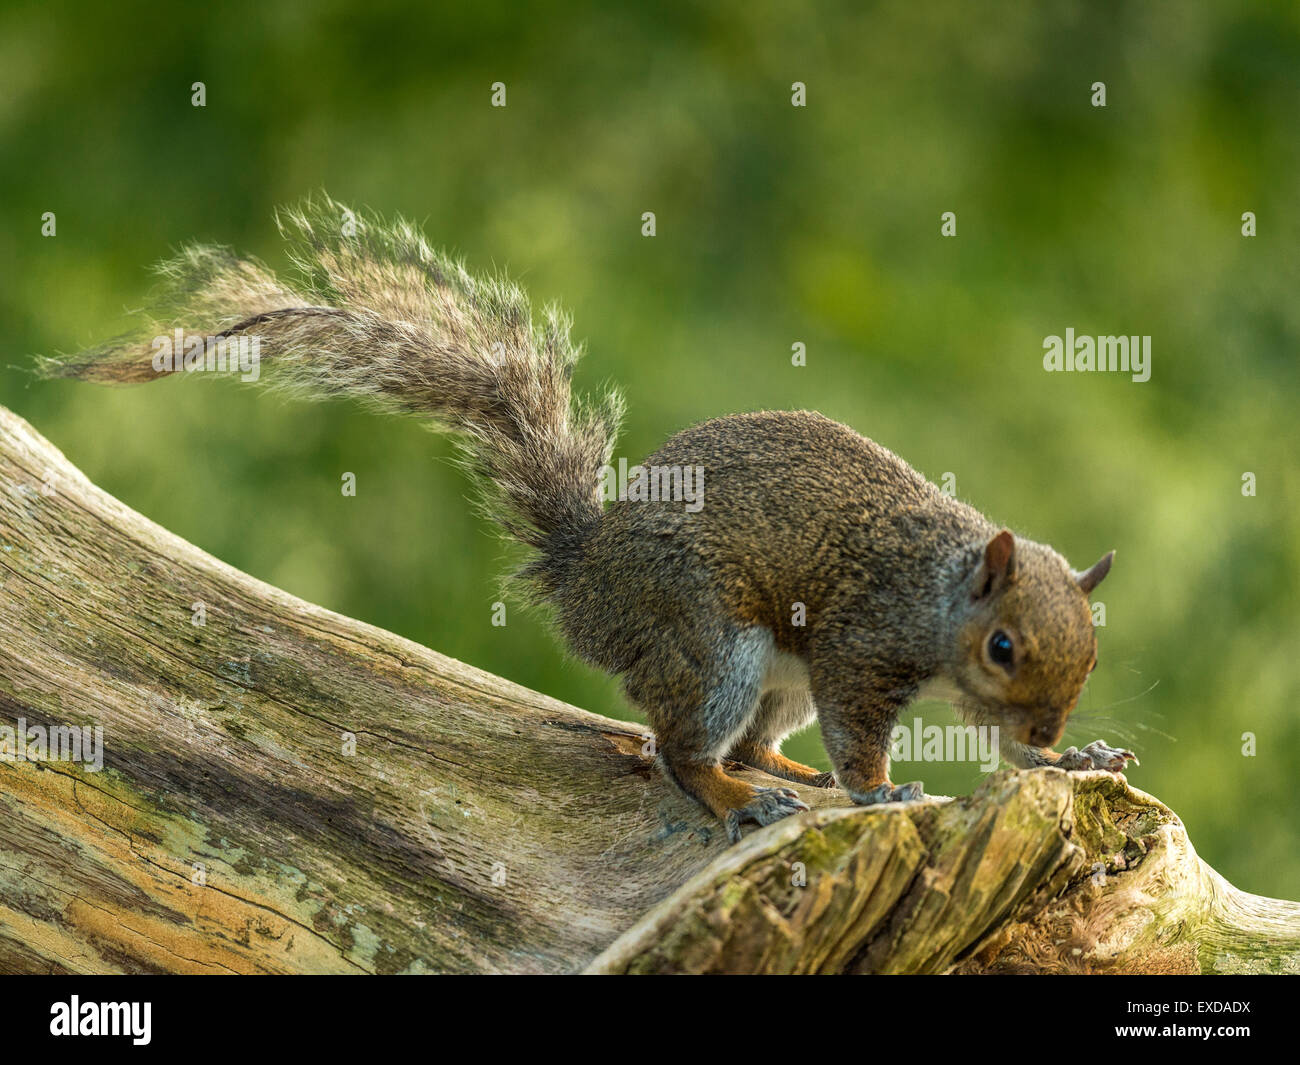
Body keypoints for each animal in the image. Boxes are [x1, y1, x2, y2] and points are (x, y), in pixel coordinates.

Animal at [41, 197, 1136, 842]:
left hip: (763, 676)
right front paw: (880, 790)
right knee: (685, 752)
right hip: (715, 642)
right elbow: (861, 729)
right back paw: (746, 796)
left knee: (742, 742)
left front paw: (1069, 759)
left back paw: (783, 772)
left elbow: (1005, 753)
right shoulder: (864, 642)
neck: (944, 592)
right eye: (1002, 646)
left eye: (1089, 652)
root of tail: (584, 576)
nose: (1053, 720)